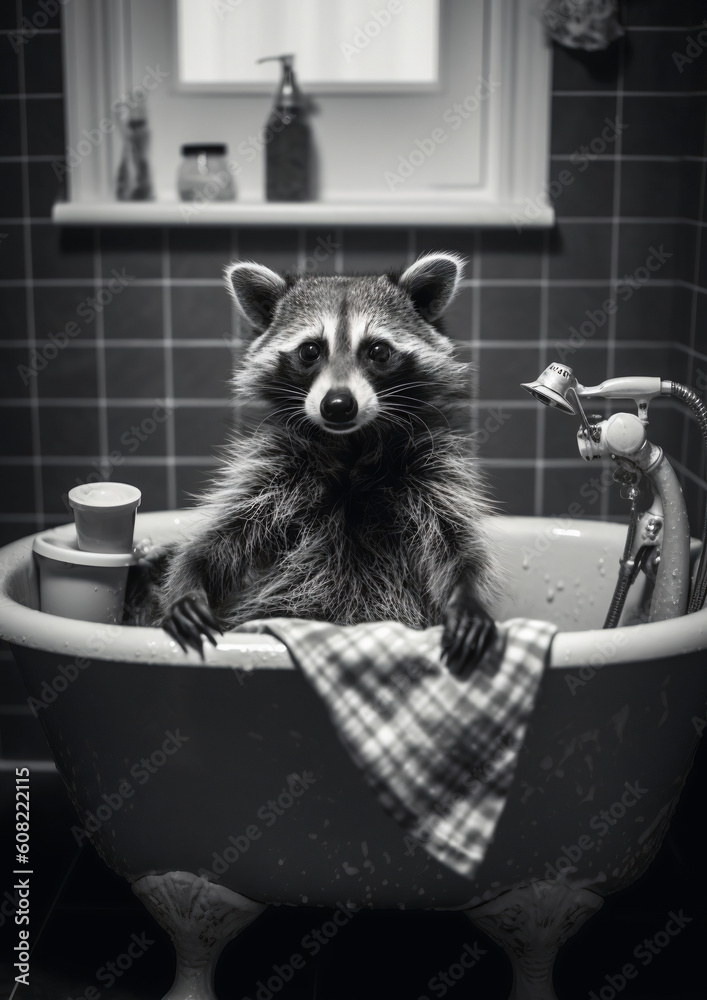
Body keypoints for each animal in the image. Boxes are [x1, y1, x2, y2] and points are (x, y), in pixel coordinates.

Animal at [152, 252, 498, 673]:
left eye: (378, 351)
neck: (350, 447)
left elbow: (455, 542)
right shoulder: (273, 468)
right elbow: (223, 538)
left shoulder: (434, 466)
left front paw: (468, 595)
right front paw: (189, 579)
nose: (338, 405)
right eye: (310, 351)